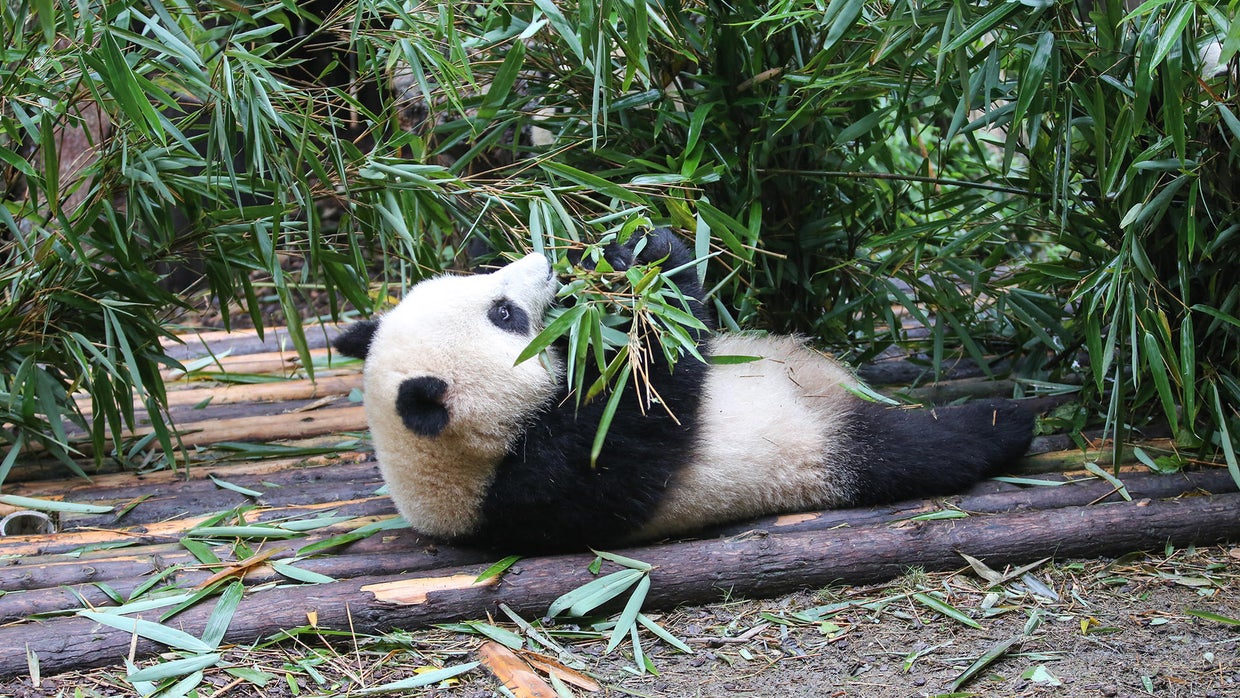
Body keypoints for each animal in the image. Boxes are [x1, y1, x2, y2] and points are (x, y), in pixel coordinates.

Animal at [333, 229, 1034, 552]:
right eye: (503, 314)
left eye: (484, 287)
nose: (546, 262)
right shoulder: (550, 488)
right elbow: (649, 405)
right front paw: (651, 276)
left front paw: (624, 252)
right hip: (819, 449)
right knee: (915, 449)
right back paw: (1011, 420)